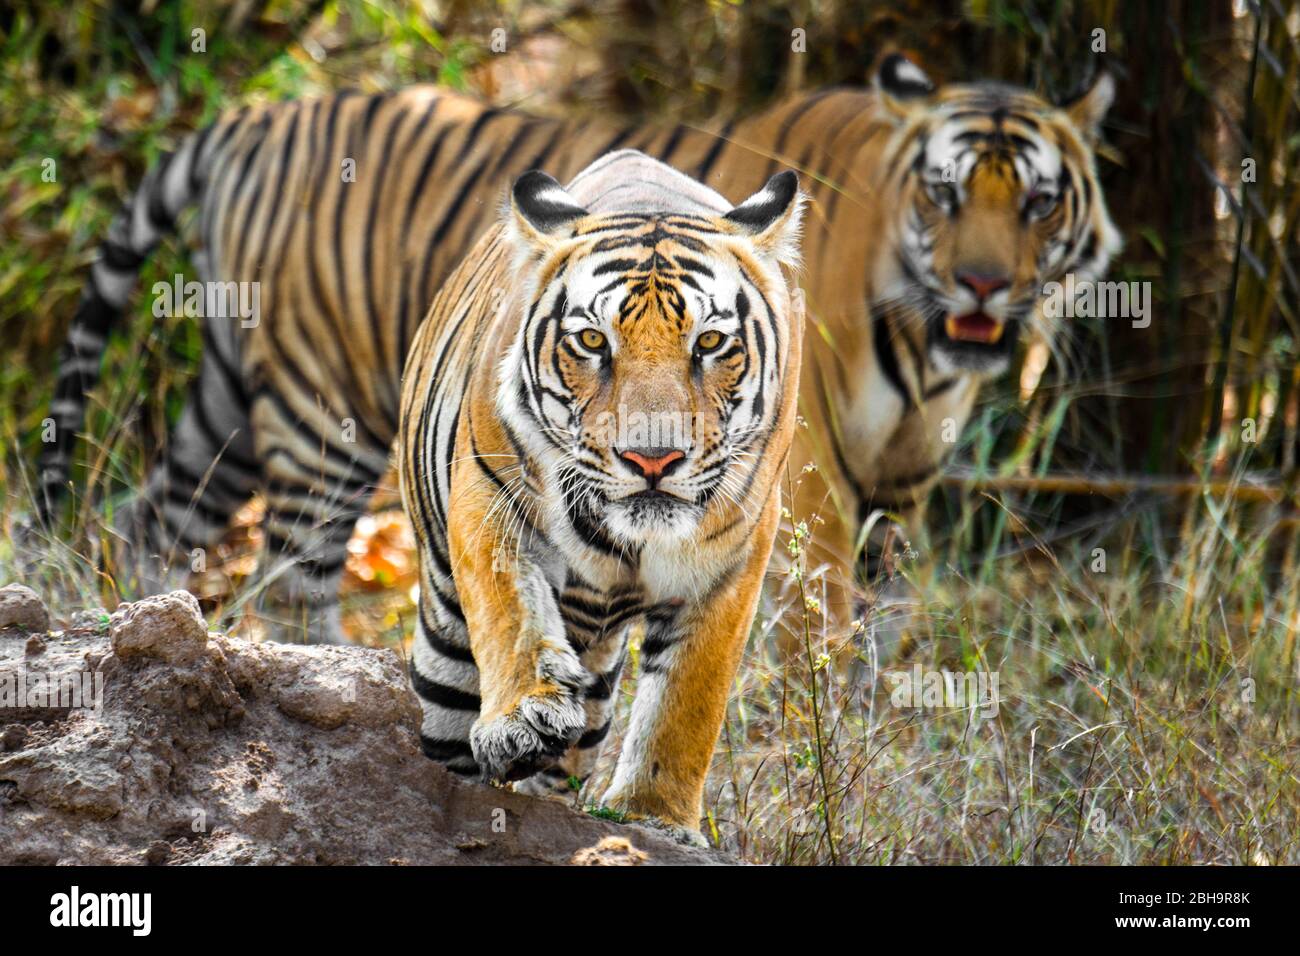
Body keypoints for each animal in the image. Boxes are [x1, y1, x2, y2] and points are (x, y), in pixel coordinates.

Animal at [36, 53, 1118, 645]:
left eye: (1038, 201)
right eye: (943, 194)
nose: (984, 285)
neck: (925, 352)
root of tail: (256, 117)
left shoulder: (902, 486)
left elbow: (883, 632)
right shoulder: (807, 474)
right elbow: (822, 627)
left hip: (229, 391)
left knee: (146, 517)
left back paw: (132, 625)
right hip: (322, 412)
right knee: (294, 579)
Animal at [397, 152, 804, 838]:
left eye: (710, 343)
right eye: (592, 342)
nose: (653, 459)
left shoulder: (735, 560)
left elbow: (688, 701)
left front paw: (656, 817)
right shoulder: (490, 499)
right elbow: (511, 613)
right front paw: (524, 719)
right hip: (445, 654)